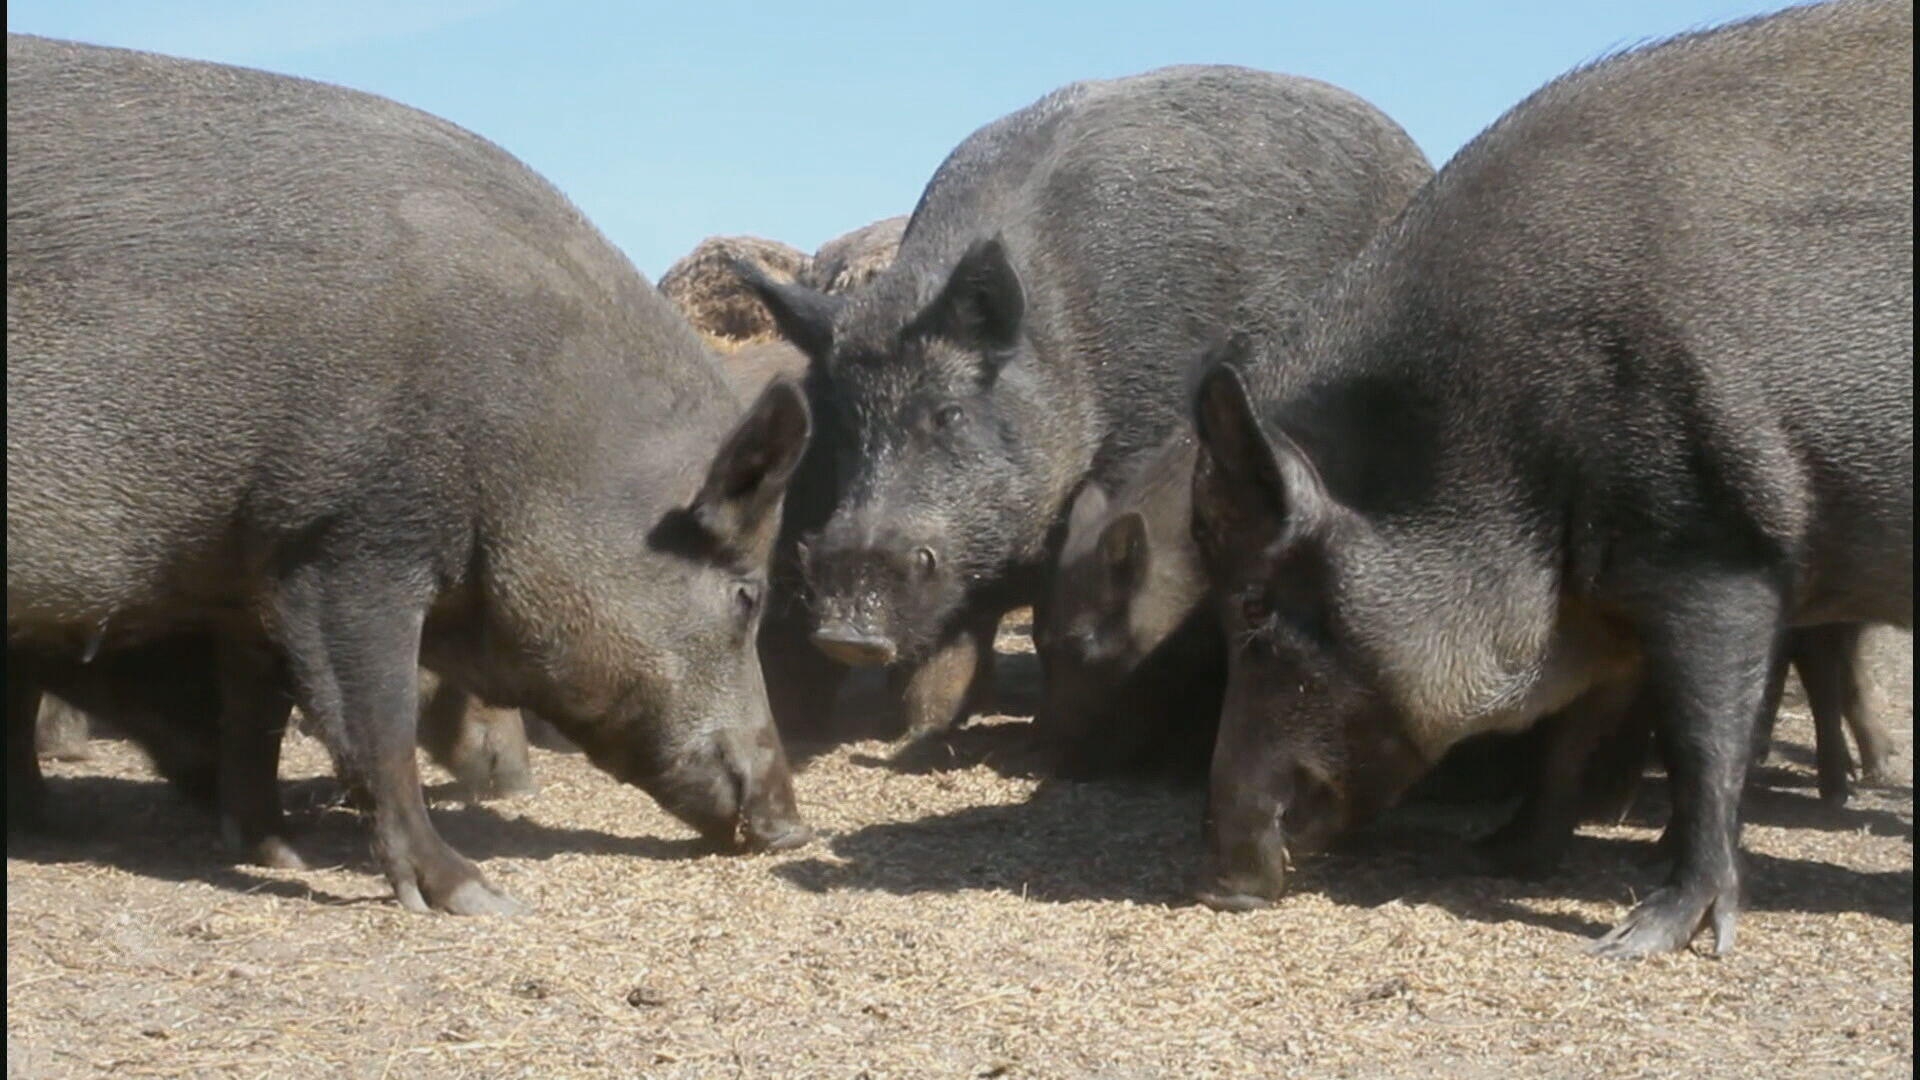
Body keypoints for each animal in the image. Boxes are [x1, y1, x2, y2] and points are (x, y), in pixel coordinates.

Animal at [8, 34, 813, 914]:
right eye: (748, 596)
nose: (793, 828)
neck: (529, 441)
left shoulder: (252, 575)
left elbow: (257, 717)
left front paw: (281, 851)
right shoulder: (347, 541)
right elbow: (374, 725)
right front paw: (478, 898)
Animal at [1187, 0, 1912, 957]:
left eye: (1253, 603)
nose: (1218, 884)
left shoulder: (1719, 543)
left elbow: (1705, 743)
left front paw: (1638, 941)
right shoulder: (1607, 604)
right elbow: (1572, 736)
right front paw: (1494, 857)